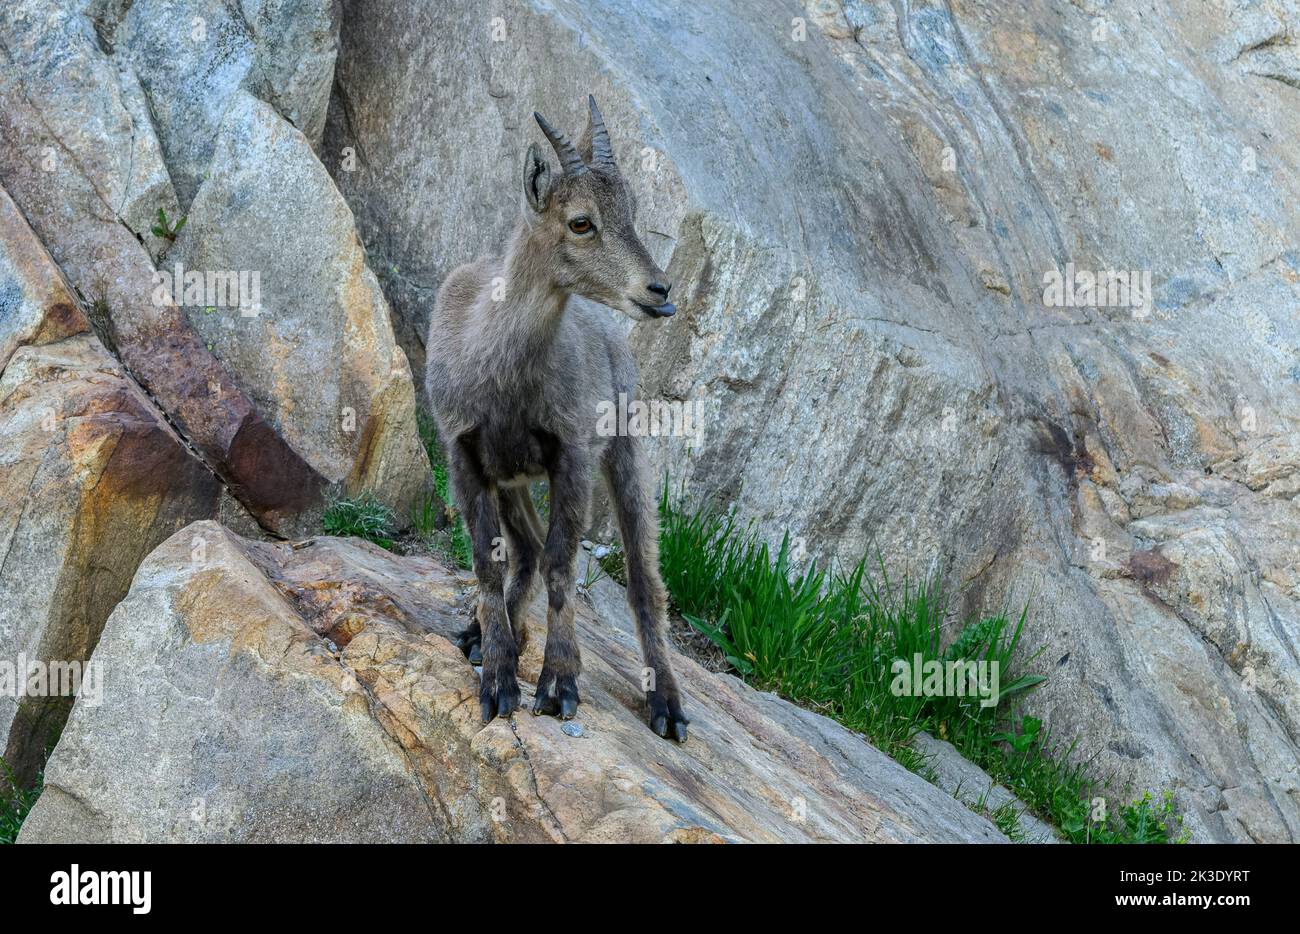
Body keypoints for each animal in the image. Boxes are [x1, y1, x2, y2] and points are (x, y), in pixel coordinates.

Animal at [424, 96, 689, 742]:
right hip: (514, 476)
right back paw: (486, 636)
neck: (501, 367)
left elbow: (563, 566)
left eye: (632, 213)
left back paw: (666, 704)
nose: (660, 290)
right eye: (581, 222)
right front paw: (497, 681)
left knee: (643, 579)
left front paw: (558, 684)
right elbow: (488, 563)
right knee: (525, 546)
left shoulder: (572, 454)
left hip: (624, 451)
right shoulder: (464, 453)